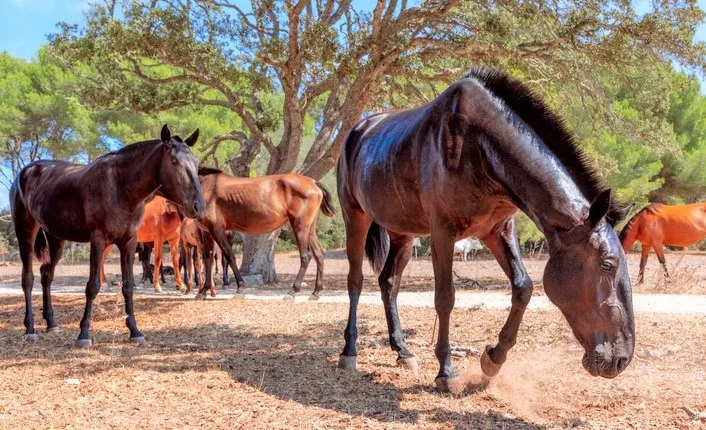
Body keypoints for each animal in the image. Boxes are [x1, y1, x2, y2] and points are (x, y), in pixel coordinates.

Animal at [10, 124, 204, 347]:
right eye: (174, 161)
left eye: (195, 162)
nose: (198, 206)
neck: (119, 186)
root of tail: (25, 172)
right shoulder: (98, 240)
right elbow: (92, 286)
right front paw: (84, 334)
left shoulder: (129, 242)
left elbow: (128, 286)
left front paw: (135, 331)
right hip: (25, 232)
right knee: (28, 279)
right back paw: (30, 328)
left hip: (56, 238)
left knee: (46, 275)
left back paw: (51, 323)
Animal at [195, 169, 335, 300]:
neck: (205, 187)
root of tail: (313, 182)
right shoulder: (206, 232)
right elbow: (208, 259)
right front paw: (202, 291)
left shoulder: (217, 230)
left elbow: (229, 257)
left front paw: (240, 288)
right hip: (309, 229)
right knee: (319, 254)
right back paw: (315, 292)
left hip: (300, 227)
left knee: (306, 256)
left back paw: (292, 291)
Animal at [336, 67, 635, 392]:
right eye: (607, 264)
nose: (621, 359)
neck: (475, 142)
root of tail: (359, 129)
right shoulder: (443, 234)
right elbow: (445, 298)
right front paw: (446, 372)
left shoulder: (498, 230)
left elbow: (523, 287)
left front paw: (493, 358)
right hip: (356, 219)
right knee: (355, 281)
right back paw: (349, 352)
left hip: (402, 233)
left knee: (389, 283)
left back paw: (403, 351)